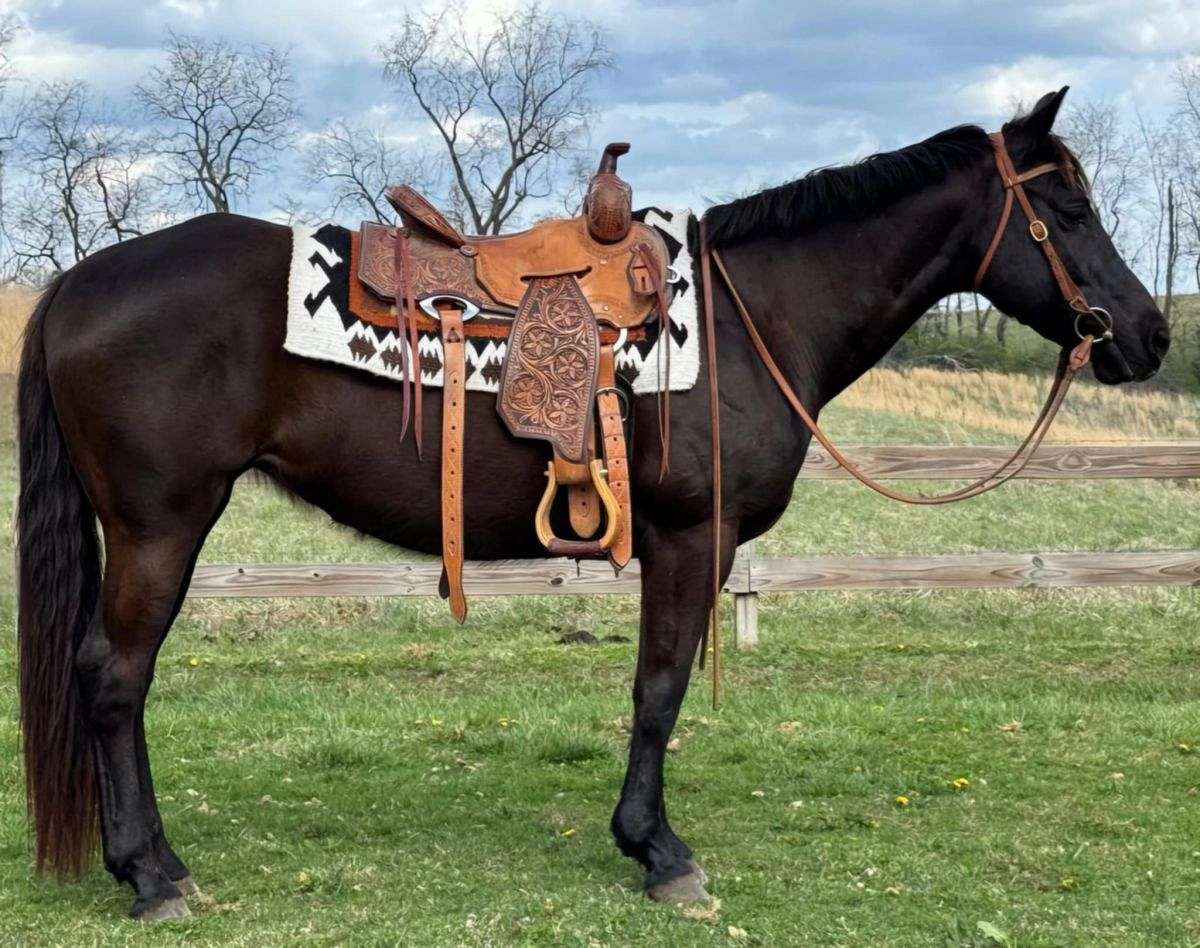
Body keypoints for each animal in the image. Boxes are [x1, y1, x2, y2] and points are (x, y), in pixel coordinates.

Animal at [16, 87, 1169, 920]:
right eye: (1066, 207)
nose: (1151, 335)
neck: (757, 316)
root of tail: (75, 283)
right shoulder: (689, 540)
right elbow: (658, 691)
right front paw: (660, 853)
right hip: (161, 526)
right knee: (114, 679)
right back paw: (152, 876)